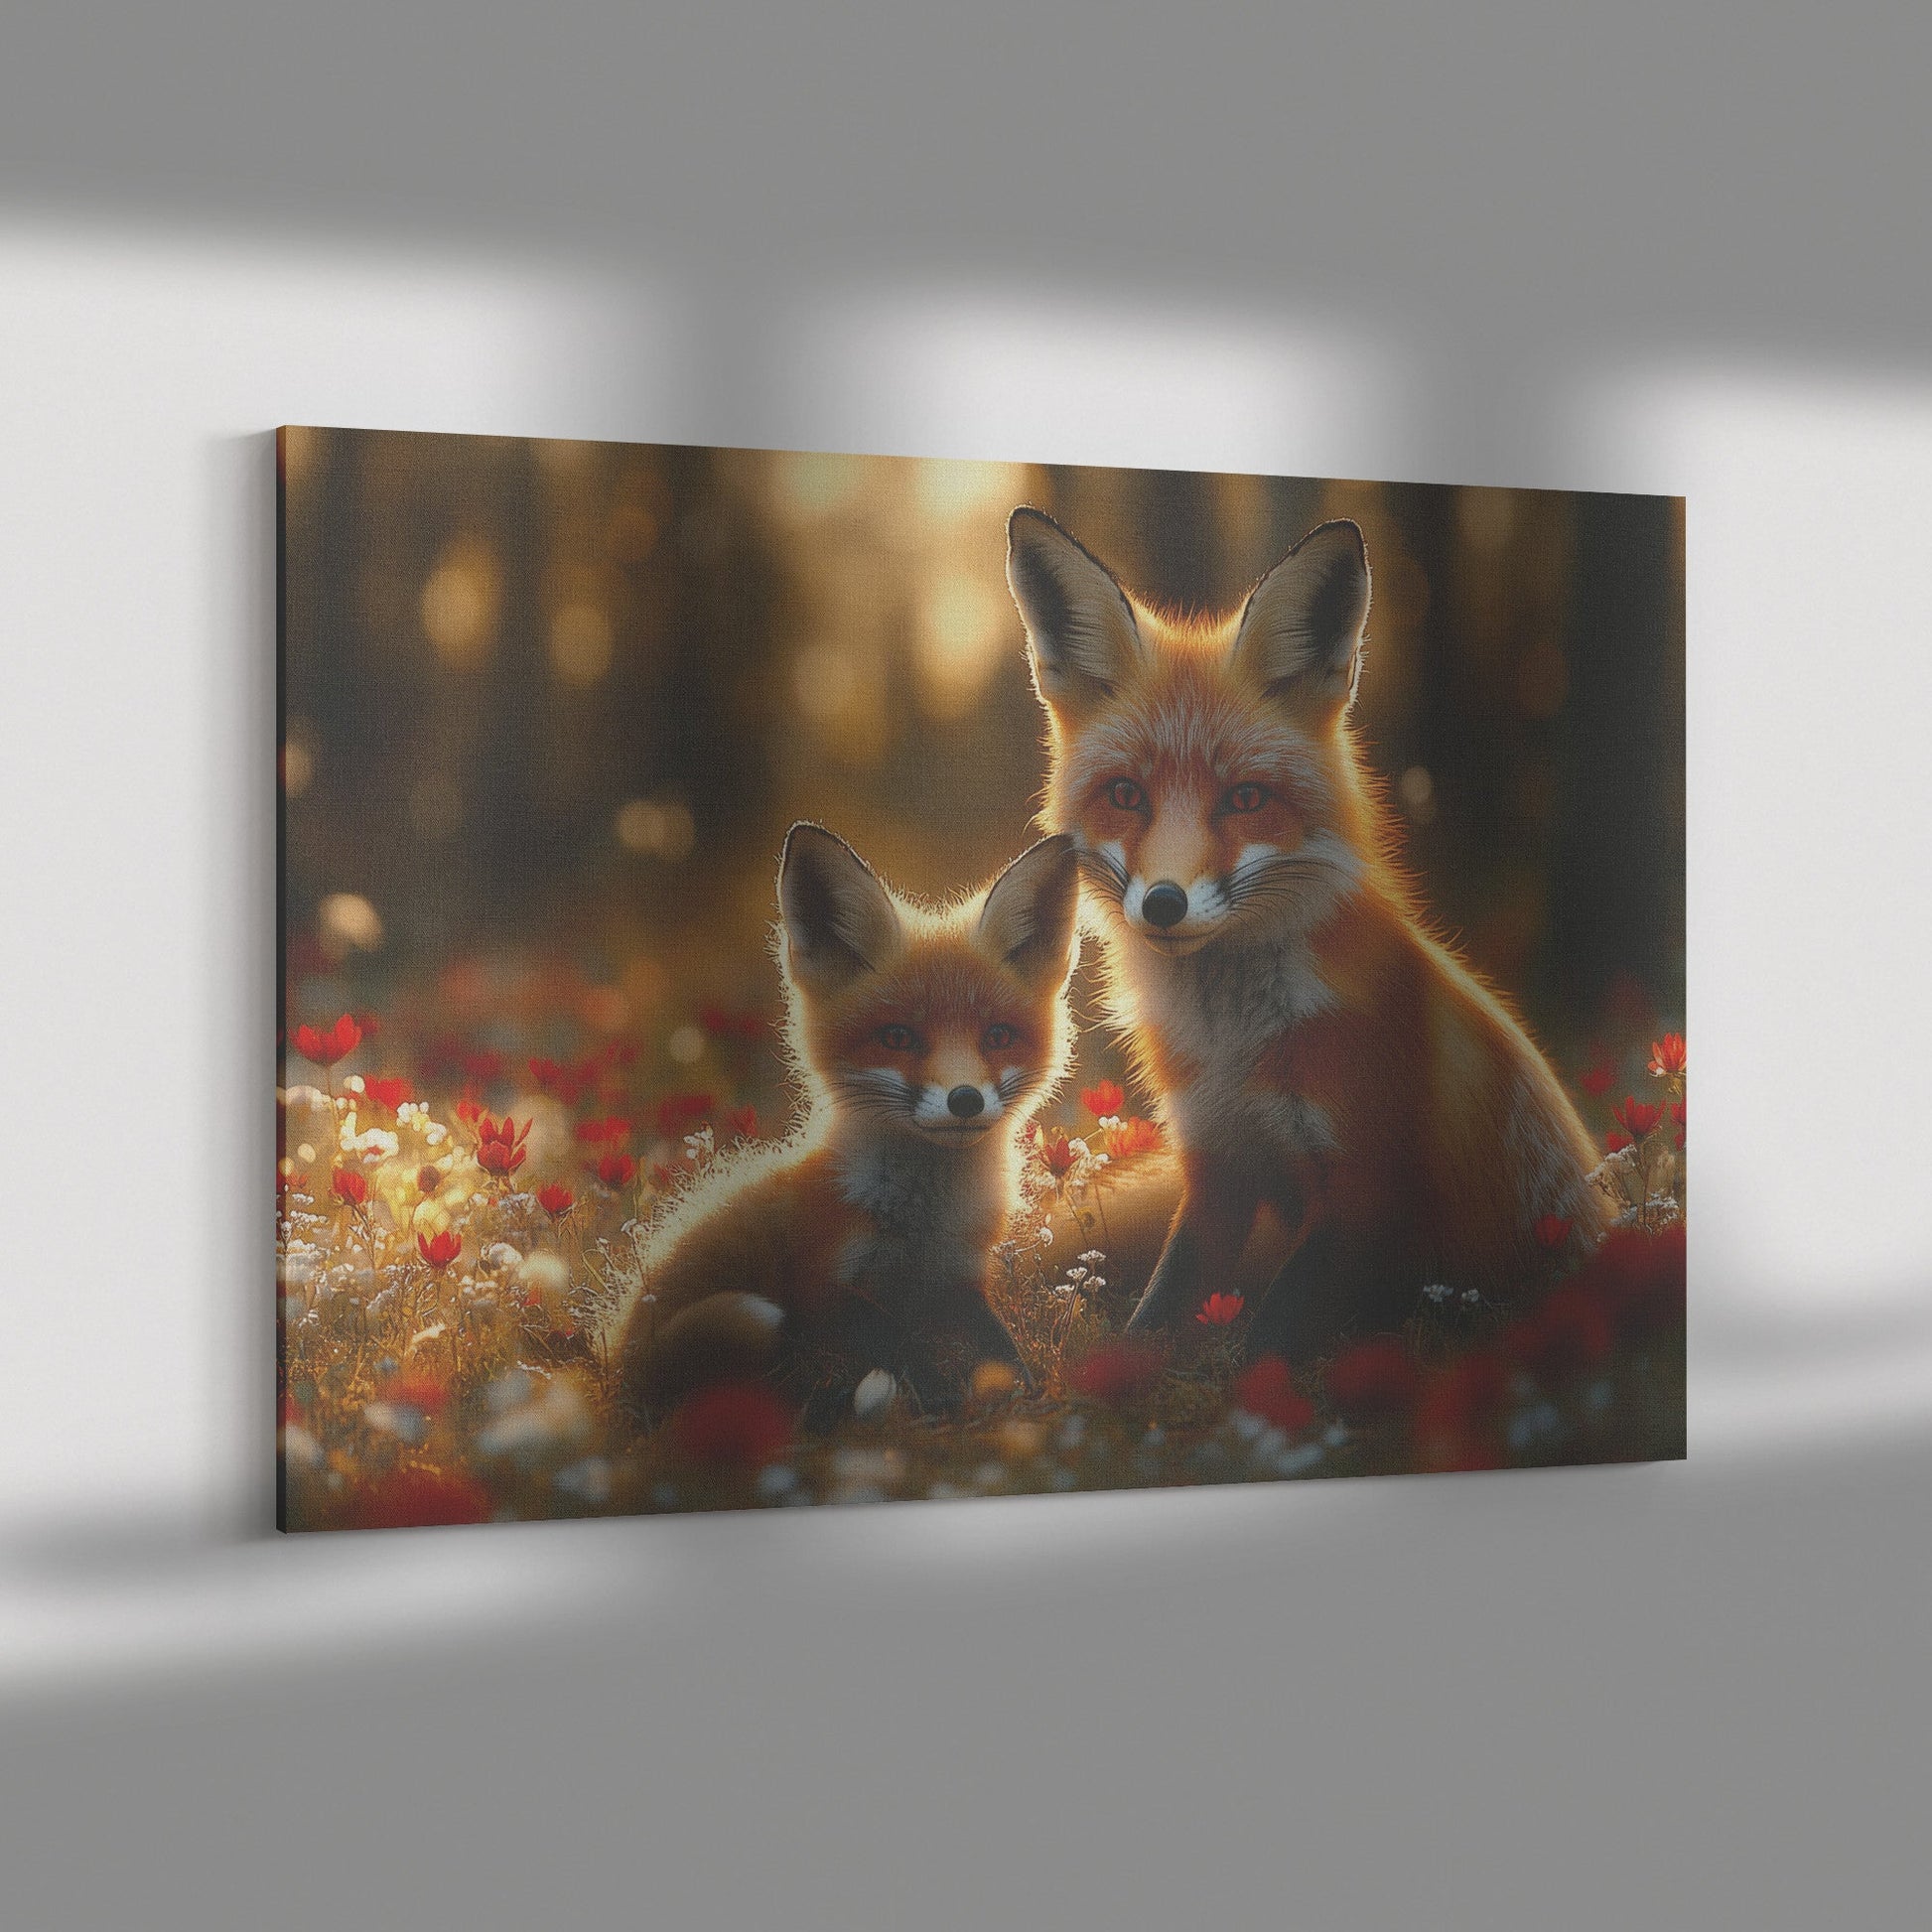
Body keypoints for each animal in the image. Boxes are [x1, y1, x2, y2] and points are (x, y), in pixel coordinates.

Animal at [607, 821, 1081, 1426]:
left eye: (998, 1036)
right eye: (898, 1037)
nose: (965, 1100)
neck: (922, 1221)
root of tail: (613, 1366)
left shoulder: (959, 1275)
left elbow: (999, 1350)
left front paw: (1025, 1396)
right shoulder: (827, 1285)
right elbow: (893, 1345)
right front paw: (929, 1402)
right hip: (749, 1316)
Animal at [1005, 505, 1606, 1360]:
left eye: (1246, 799)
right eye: (1126, 795)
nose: (1162, 904)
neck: (1235, 1047)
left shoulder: (1364, 1192)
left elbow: (1267, 1342)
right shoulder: (1214, 1169)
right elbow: (1159, 1311)